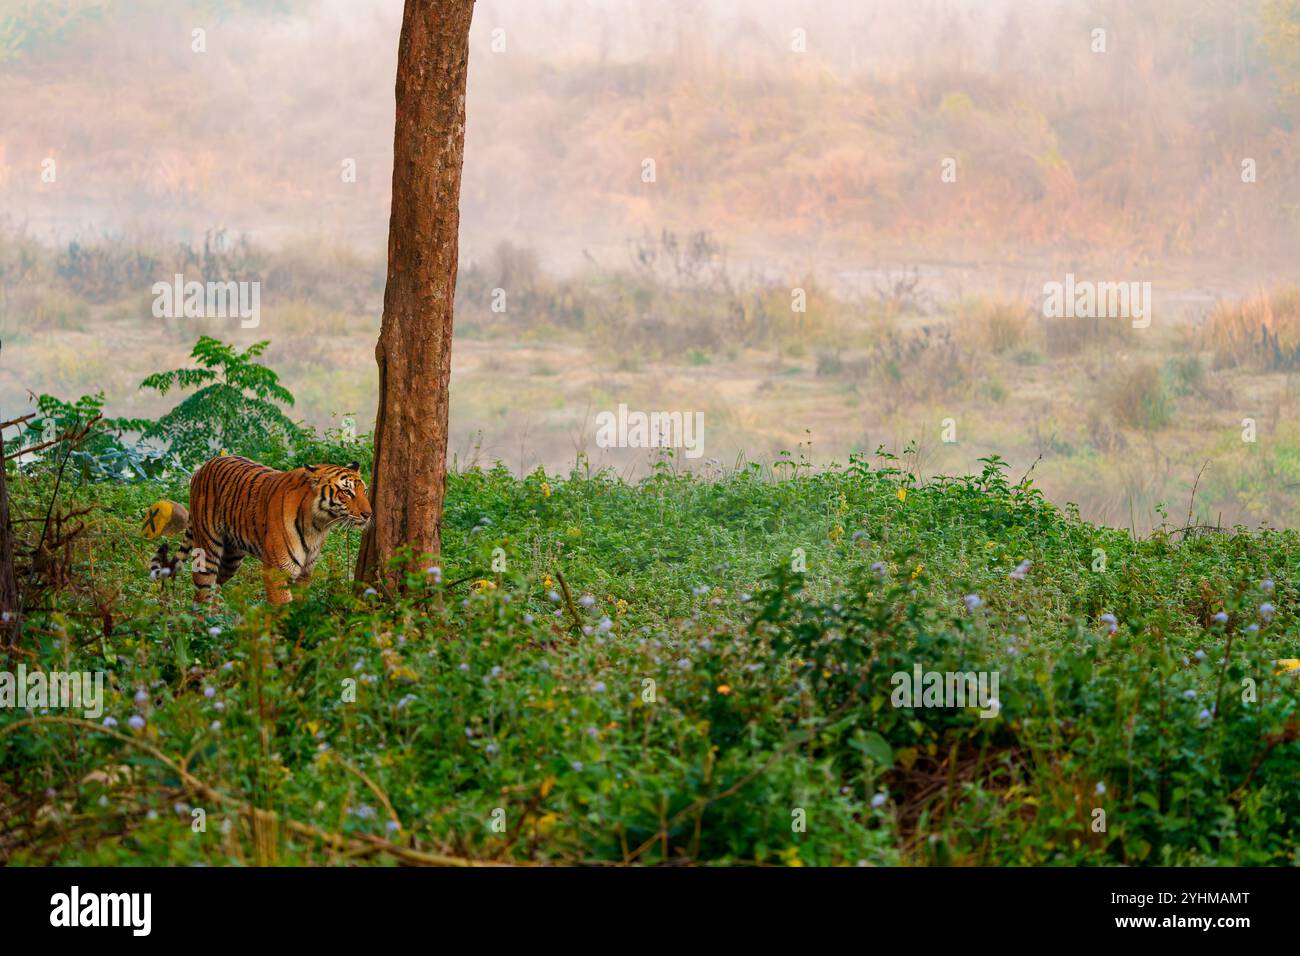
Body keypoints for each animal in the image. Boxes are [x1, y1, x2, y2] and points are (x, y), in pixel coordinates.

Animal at [144, 456, 371, 606]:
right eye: (346, 492)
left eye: (364, 491)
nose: (368, 514)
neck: (318, 525)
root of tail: (203, 466)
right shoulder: (276, 571)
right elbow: (283, 609)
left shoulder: (305, 575)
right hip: (207, 550)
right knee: (202, 594)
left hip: (231, 558)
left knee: (216, 589)